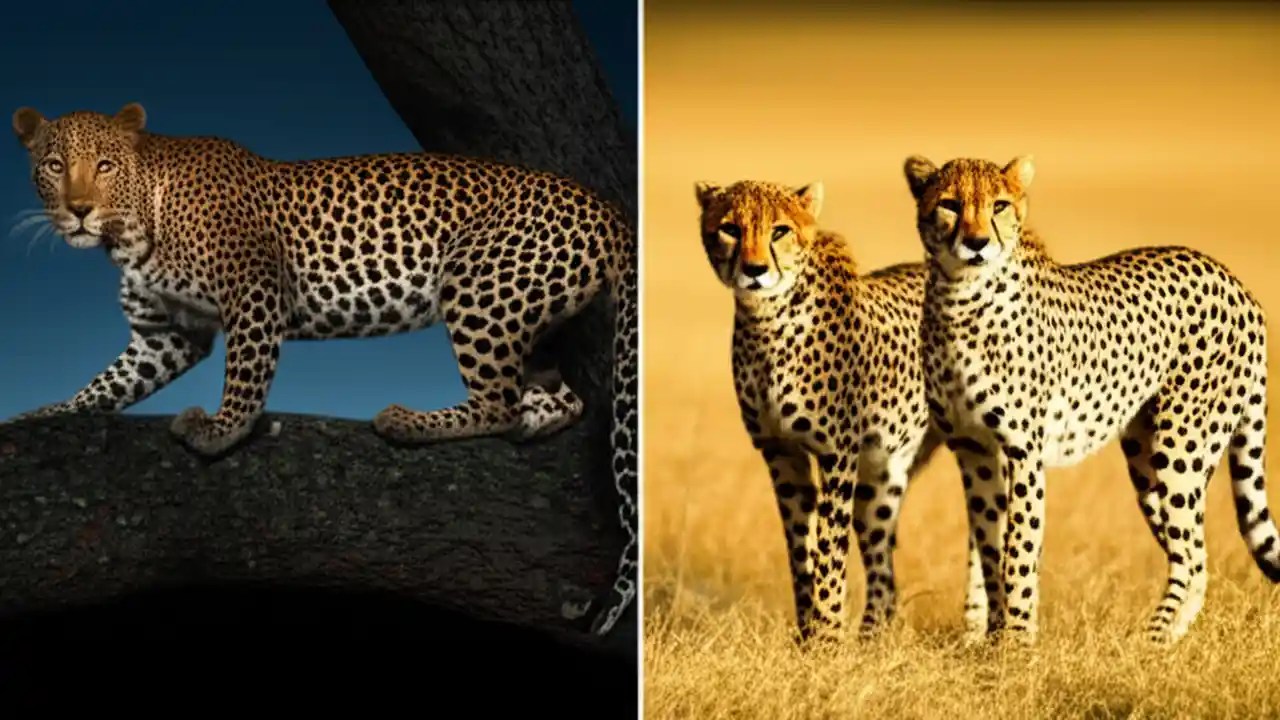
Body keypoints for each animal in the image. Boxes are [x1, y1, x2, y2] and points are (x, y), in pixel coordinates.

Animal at [7, 102, 639, 637]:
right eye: (55, 165)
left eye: (105, 164)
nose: (80, 210)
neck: (135, 226)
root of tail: (607, 208)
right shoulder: (169, 335)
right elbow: (109, 382)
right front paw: (42, 415)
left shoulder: (254, 290)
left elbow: (247, 370)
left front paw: (221, 431)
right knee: (562, 399)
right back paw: (532, 419)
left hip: (477, 284)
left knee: (497, 403)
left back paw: (411, 421)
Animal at [694, 177, 988, 644]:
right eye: (729, 229)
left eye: (779, 230)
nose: (754, 270)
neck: (767, 322)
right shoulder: (780, 453)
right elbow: (800, 546)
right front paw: (807, 634)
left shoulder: (837, 455)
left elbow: (829, 550)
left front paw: (827, 637)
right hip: (882, 475)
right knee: (884, 567)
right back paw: (873, 637)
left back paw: (978, 629)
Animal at [903, 153, 1278, 646]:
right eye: (949, 204)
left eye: (999, 205)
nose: (977, 243)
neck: (960, 296)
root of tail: (1236, 283)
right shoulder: (973, 450)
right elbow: (987, 544)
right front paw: (985, 637)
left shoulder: (1022, 452)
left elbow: (1019, 550)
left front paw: (1016, 642)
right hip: (1146, 463)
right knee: (1188, 552)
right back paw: (1165, 637)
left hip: (1182, 448)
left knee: (1194, 558)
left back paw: (1150, 642)